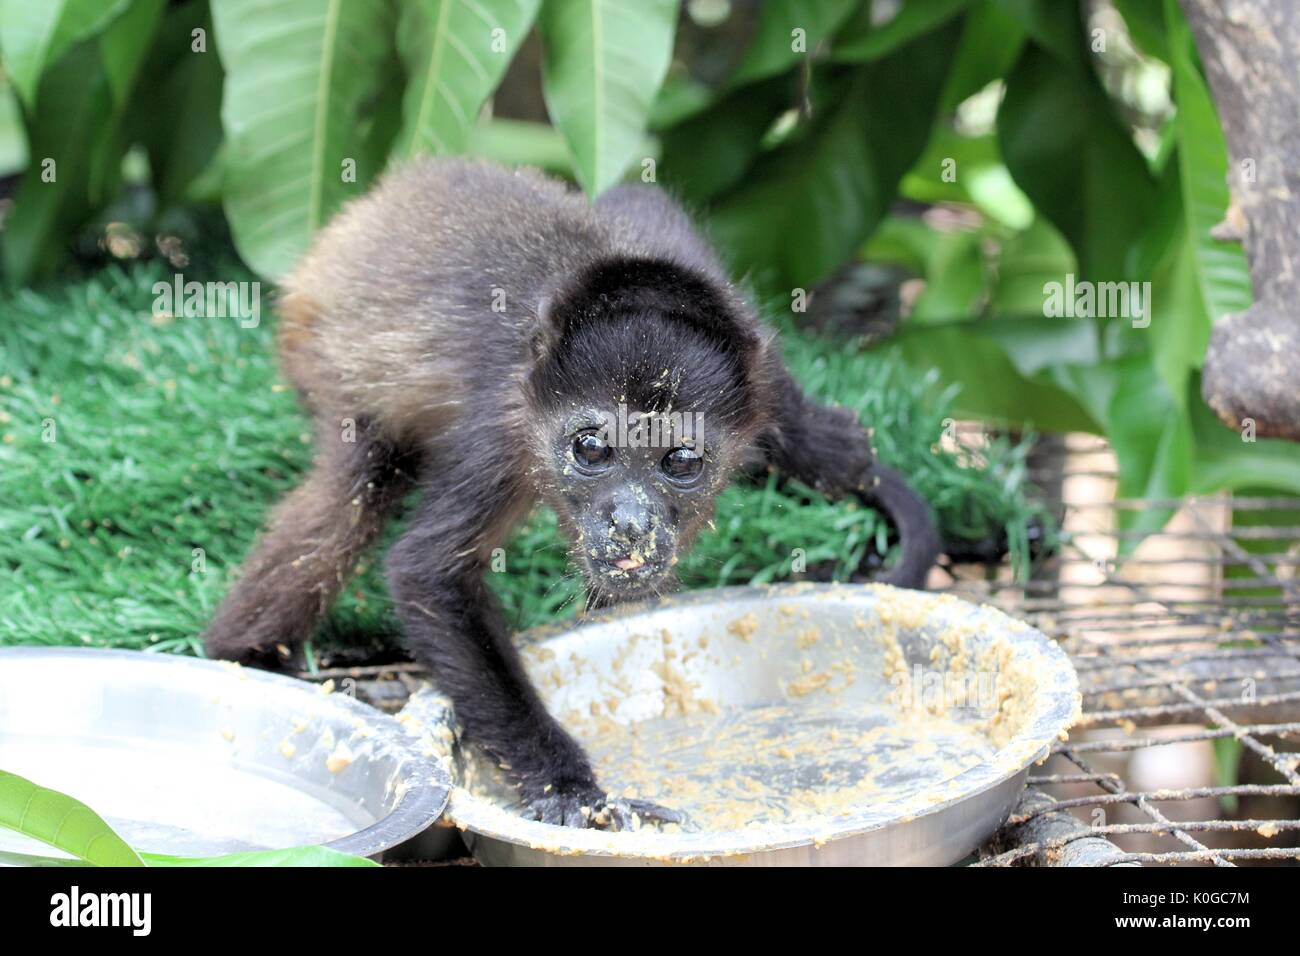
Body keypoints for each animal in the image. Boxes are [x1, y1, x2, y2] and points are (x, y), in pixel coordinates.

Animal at [203, 158, 941, 829]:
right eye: (590, 449)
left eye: (680, 459)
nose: (630, 521)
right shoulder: (500, 434)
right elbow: (427, 573)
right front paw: (569, 789)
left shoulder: (685, 265)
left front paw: (831, 448)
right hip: (320, 352)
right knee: (352, 491)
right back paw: (248, 655)